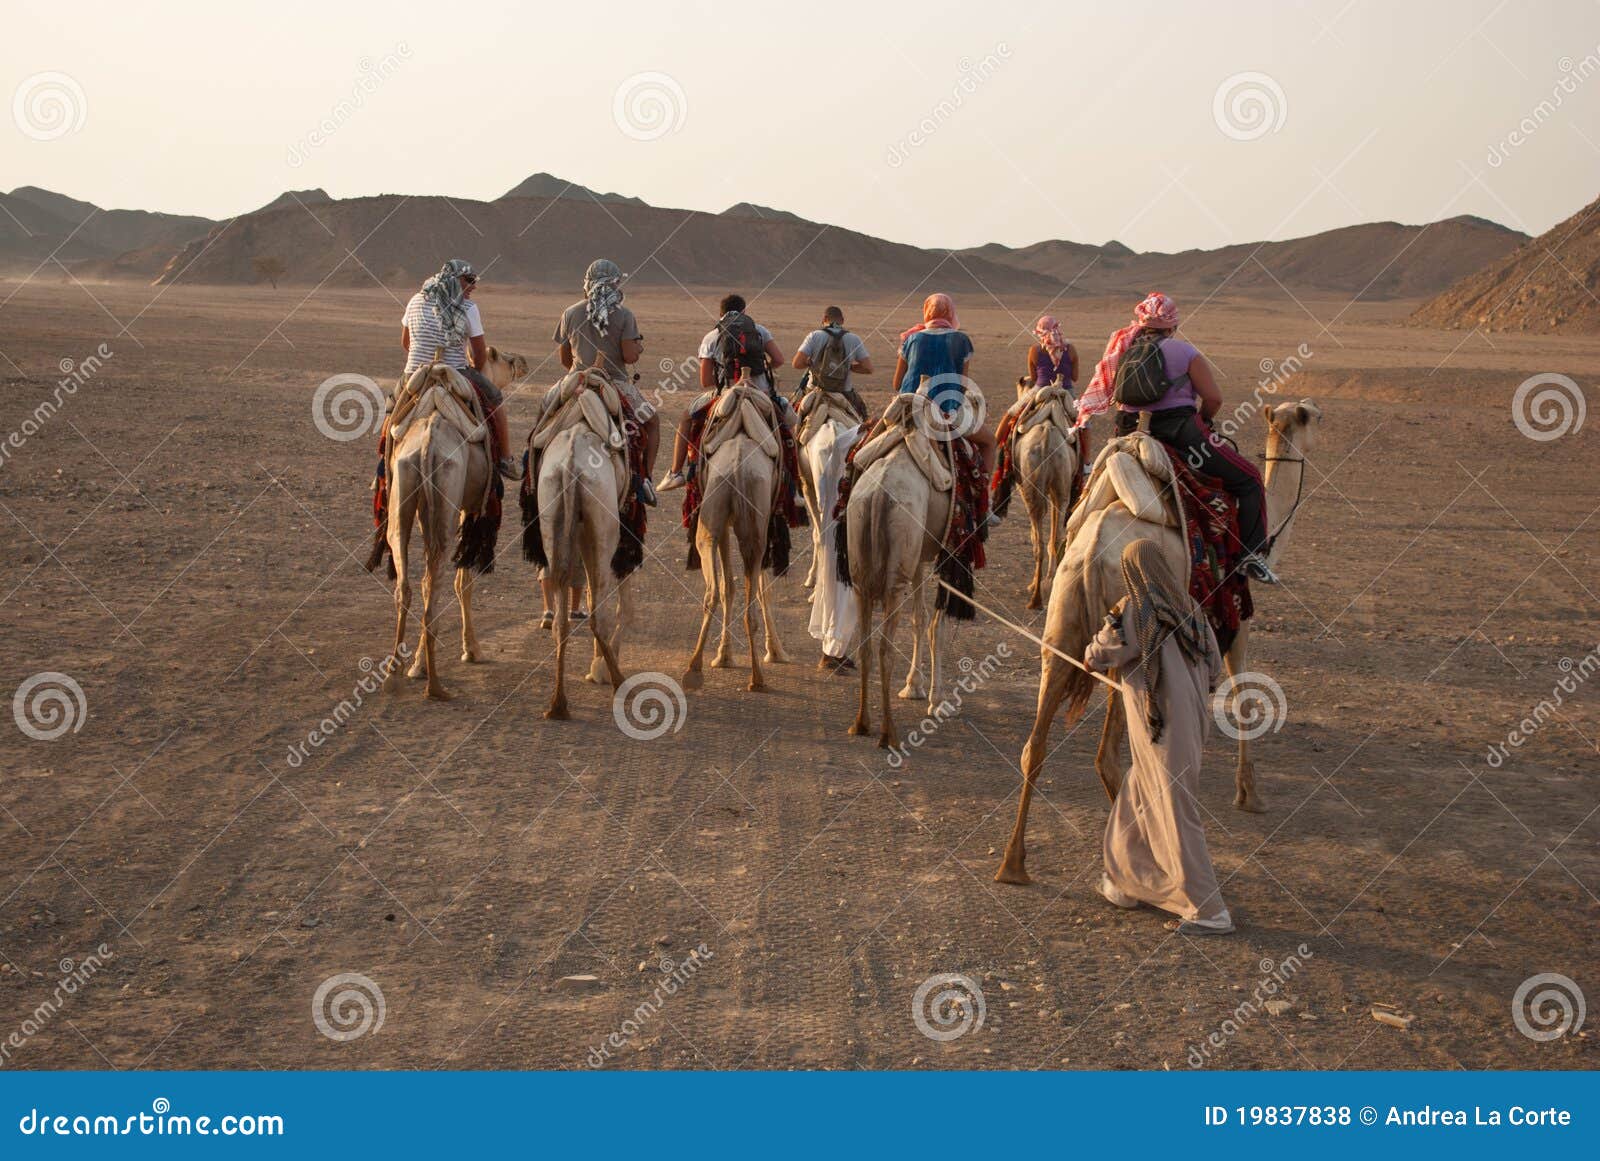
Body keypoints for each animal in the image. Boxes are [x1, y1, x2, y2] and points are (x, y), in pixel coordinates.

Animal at [382, 347, 527, 700]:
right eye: (503, 358)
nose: (522, 362)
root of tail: (429, 441)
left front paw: (417, 664)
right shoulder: (470, 509)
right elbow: (464, 582)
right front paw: (471, 649)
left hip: (404, 495)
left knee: (408, 583)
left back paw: (395, 673)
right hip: (447, 505)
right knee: (434, 580)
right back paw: (433, 683)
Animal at [529, 368, 630, 720]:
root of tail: (572, 464)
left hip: (550, 509)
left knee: (560, 618)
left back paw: (558, 702)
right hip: (603, 529)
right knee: (598, 610)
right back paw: (618, 683)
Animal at [682, 384, 791, 692]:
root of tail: (738, 470)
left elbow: (729, 586)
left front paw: (724, 655)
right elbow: (760, 588)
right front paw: (774, 651)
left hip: (712, 514)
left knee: (712, 590)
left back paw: (694, 669)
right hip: (753, 525)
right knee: (745, 599)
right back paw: (756, 677)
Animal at [842, 393, 956, 749]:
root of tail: (880, 494)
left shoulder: (919, 555)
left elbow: (920, 617)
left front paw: (915, 686)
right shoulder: (949, 552)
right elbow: (936, 624)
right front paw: (937, 698)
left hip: (861, 569)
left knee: (866, 645)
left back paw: (861, 722)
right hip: (895, 578)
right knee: (884, 648)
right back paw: (888, 733)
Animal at [995, 399, 1323, 885]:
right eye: (1310, 416)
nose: (1321, 417)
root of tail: (1092, 556)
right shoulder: (1236, 613)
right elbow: (1244, 695)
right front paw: (1250, 793)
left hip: (1062, 625)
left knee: (1034, 745)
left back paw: (1014, 864)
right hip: (1128, 640)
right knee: (1108, 757)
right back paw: (1151, 859)